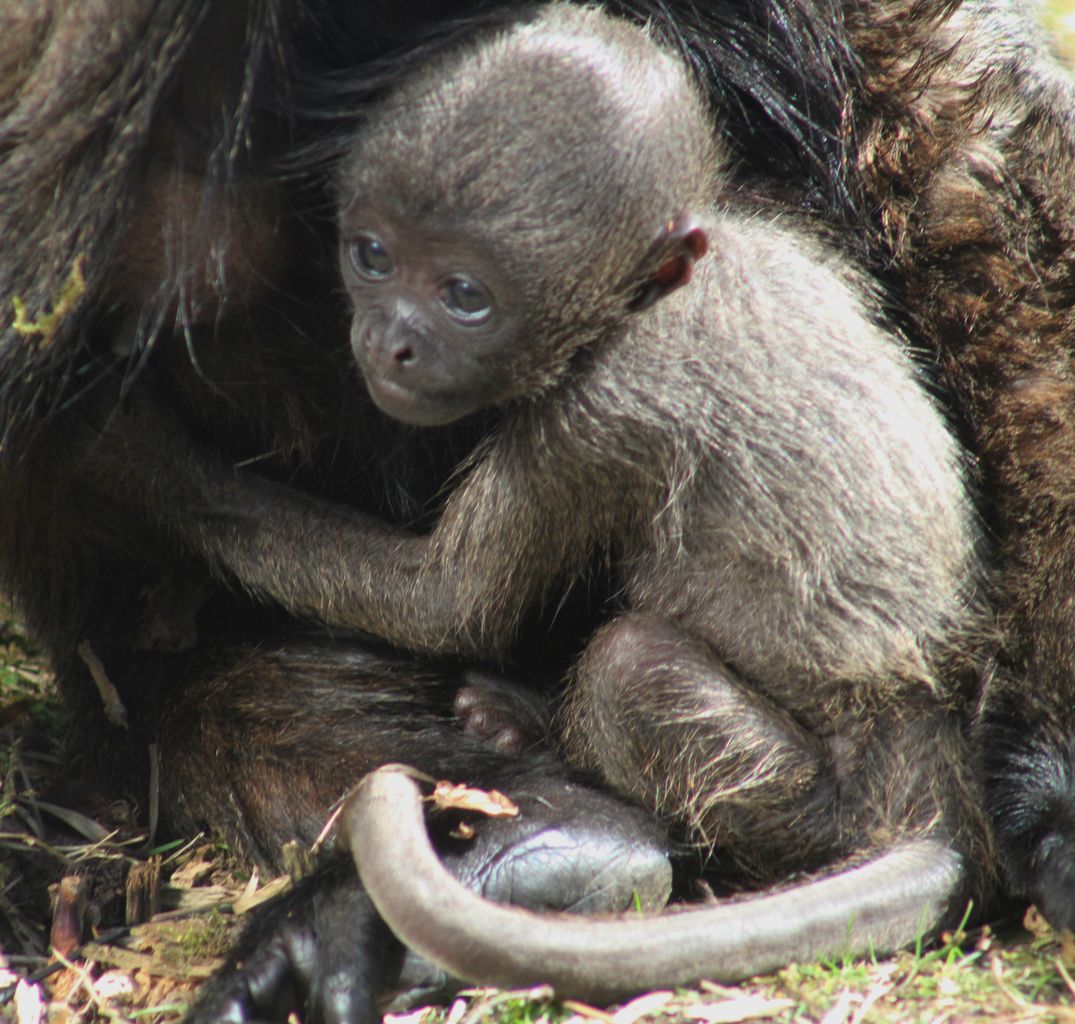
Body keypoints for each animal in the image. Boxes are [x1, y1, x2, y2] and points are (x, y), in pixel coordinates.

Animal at [0, 1, 893, 1019]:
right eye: (371, 256)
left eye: (466, 295)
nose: (390, 341)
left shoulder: (582, 414)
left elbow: (445, 603)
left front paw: (143, 458)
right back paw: (519, 851)